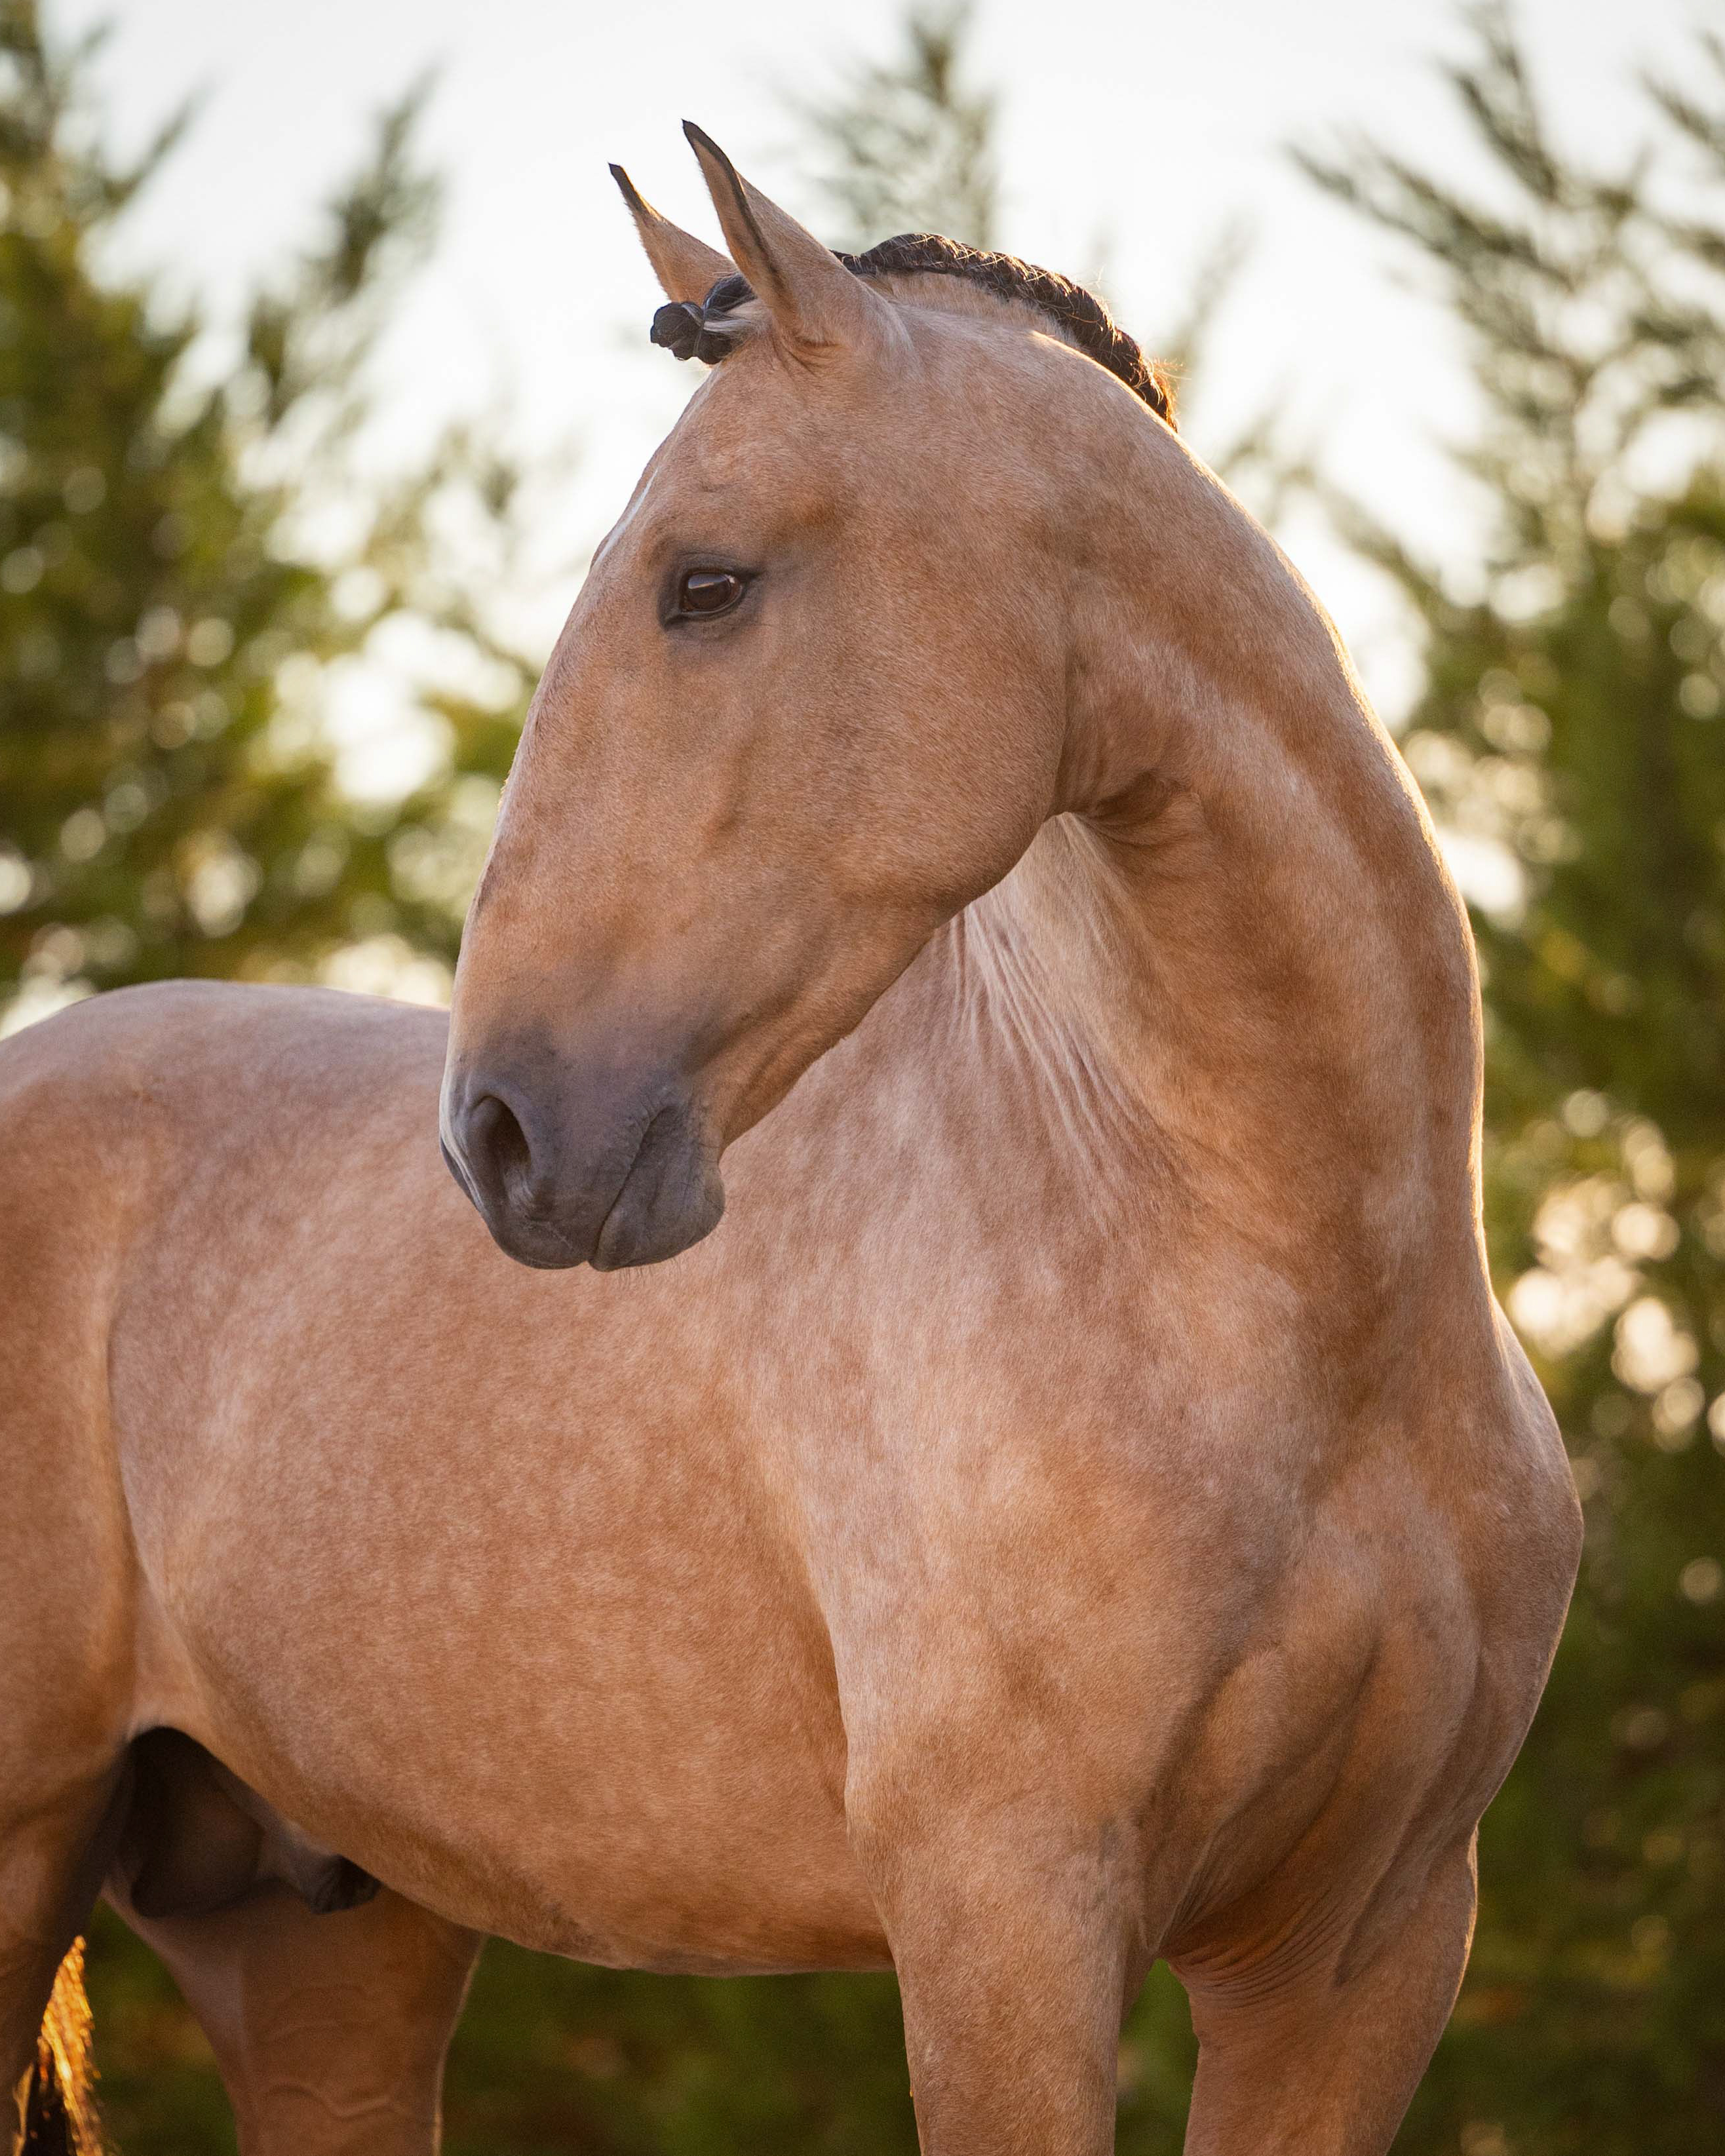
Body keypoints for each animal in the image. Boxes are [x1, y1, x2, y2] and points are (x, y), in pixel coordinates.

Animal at [2, 126, 1580, 2155]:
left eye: (706, 582)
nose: (503, 1133)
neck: (1296, 1290)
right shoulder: (1007, 1922)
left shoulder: (1358, 1963)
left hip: (324, 1949)